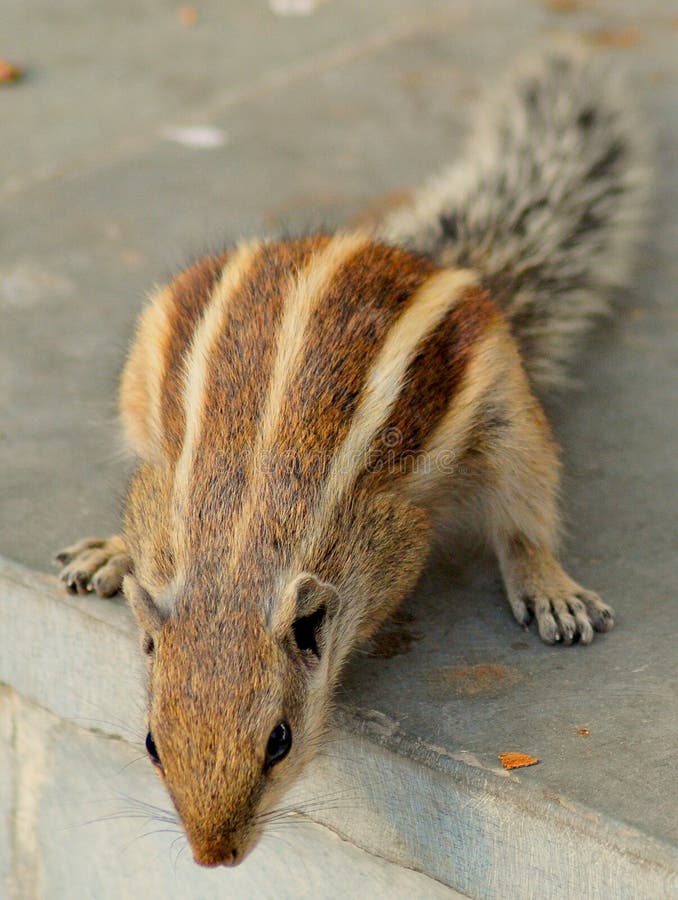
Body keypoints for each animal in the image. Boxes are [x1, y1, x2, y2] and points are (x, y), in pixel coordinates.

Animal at [55, 49, 647, 867]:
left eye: (279, 741)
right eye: (150, 743)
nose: (214, 859)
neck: (238, 547)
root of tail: (410, 255)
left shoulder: (390, 536)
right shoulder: (157, 491)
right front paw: (119, 551)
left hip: (509, 414)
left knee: (525, 510)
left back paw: (551, 587)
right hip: (140, 379)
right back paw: (107, 554)